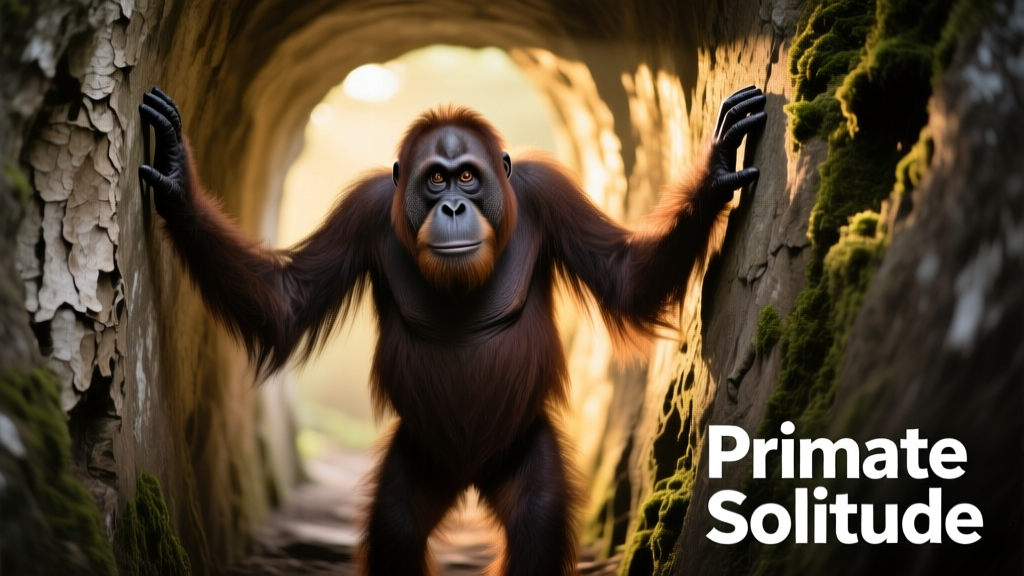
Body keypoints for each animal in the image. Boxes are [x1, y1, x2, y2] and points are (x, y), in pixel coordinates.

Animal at [138, 84, 765, 575]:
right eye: (435, 181)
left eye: (467, 175)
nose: (456, 207)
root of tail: (467, 475)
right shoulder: (362, 210)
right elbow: (286, 302)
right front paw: (175, 179)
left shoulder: (549, 192)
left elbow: (624, 277)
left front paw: (716, 171)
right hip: (423, 454)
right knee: (396, 526)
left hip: (519, 444)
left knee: (536, 520)